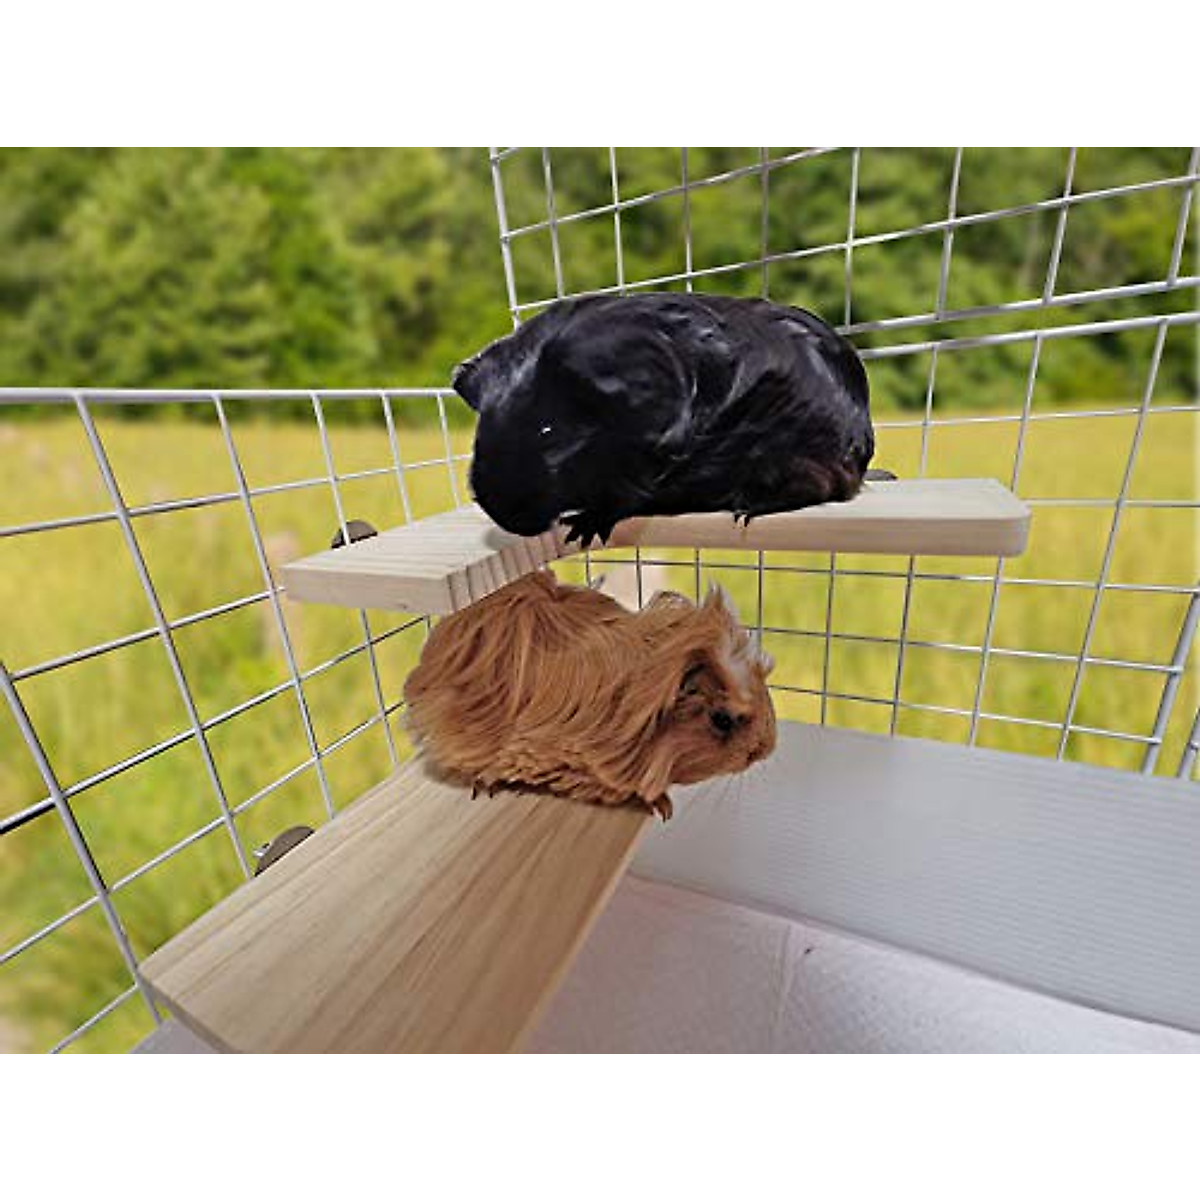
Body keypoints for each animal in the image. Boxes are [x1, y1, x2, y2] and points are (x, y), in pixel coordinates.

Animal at [452, 291, 878, 547]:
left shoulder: (643, 465)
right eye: (479, 436)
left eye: (548, 429)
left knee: (825, 488)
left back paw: (747, 511)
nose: (508, 517)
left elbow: (621, 496)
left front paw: (580, 531)